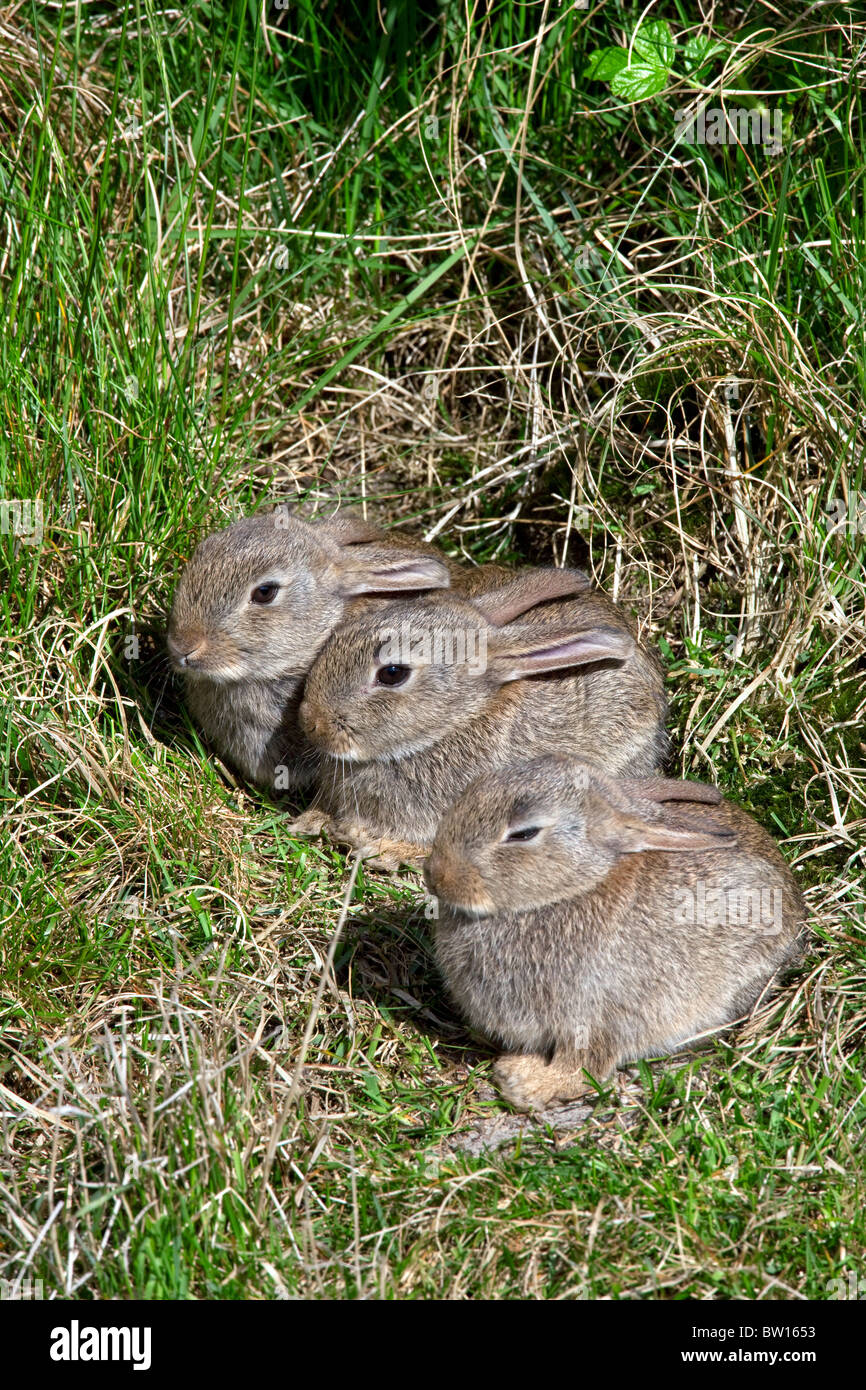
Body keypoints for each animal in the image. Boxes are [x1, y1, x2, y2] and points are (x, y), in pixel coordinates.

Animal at [424, 757, 806, 1110]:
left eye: (524, 833)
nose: (435, 875)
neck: (572, 889)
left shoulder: (595, 1015)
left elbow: (583, 1065)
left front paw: (526, 1082)